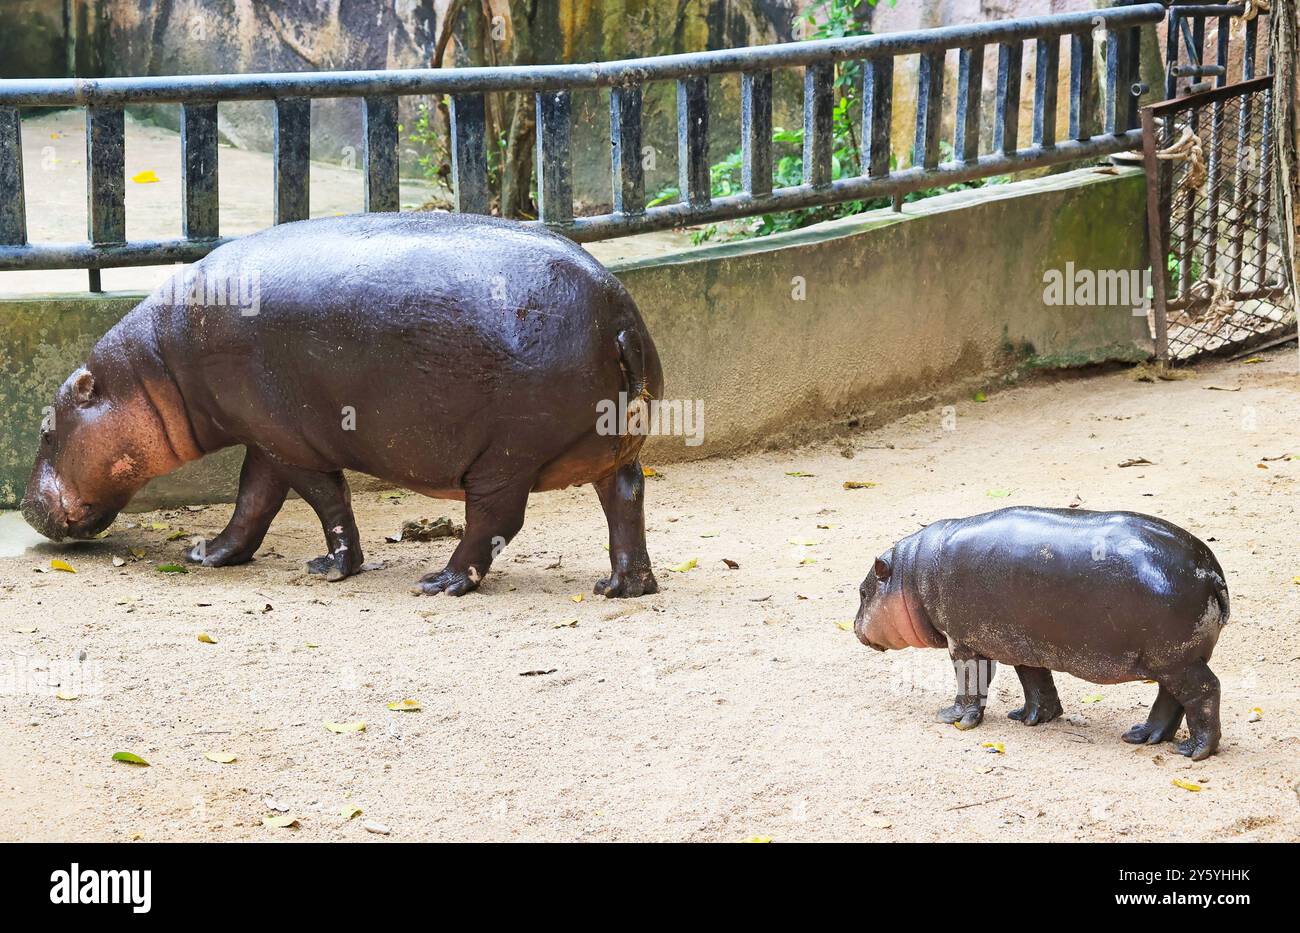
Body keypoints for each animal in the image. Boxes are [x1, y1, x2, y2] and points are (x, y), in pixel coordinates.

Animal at [21, 212, 663, 598]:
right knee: (626, 500)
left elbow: (324, 499)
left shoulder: (288, 440)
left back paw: (440, 582)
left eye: (47, 431)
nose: (26, 509)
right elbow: (252, 503)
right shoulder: (266, 439)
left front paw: (330, 568)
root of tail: (621, 317)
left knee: (495, 520)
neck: (152, 367)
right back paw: (622, 586)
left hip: (506, 457)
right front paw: (209, 554)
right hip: (611, 450)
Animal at [853, 507, 1229, 760]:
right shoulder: (1022, 643)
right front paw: (1029, 718)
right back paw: (1143, 736)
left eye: (862, 592)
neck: (911, 574)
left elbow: (971, 682)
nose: (854, 627)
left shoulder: (963, 642)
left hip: (1176, 659)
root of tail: (1211, 570)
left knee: (1204, 691)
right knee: (1171, 698)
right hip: (1172, 660)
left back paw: (1192, 751)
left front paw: (951, 718)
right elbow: (1035, 680)